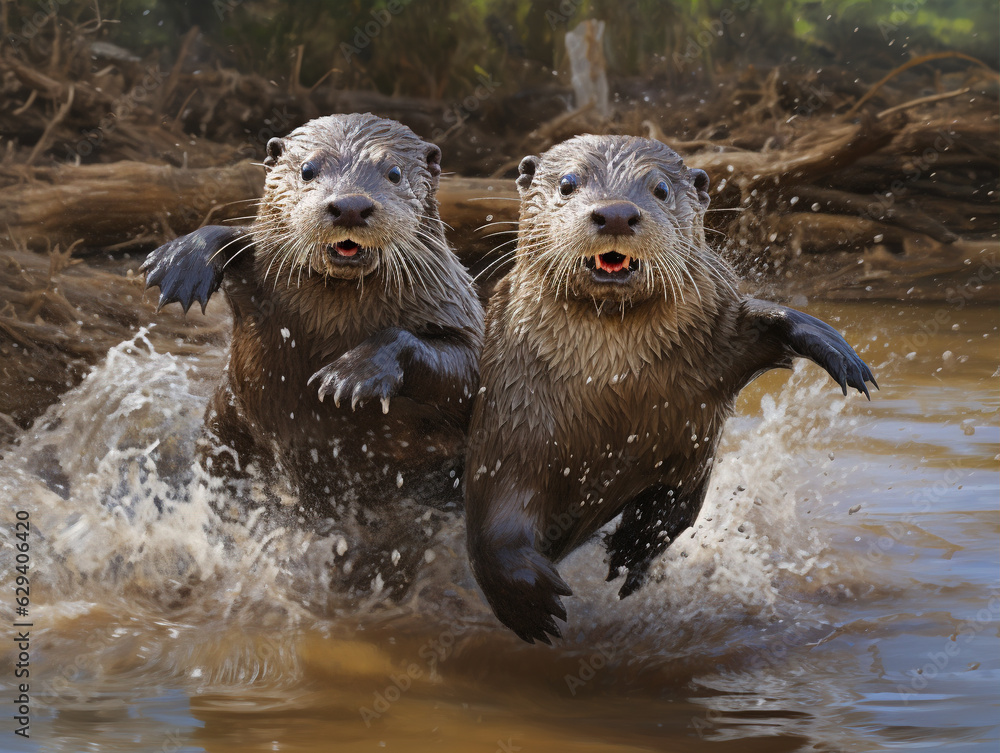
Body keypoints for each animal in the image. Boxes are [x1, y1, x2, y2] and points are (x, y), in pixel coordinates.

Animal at [142, 115, 484, 582]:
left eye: (394, 172)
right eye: (307, 169)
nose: (351, 205)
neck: (331, 321)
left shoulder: (460, 313)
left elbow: (464, 368)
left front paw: (351, 374)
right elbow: (238, 237)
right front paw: (184, 258)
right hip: (224, 425)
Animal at [464, 135, 876, 643]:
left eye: (659, 189)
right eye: (567, 183)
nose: (616, 213)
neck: (614, 386)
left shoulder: (705, 385)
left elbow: (676, 501)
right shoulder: (512, 419)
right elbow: (493, 522)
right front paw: (530, 605)